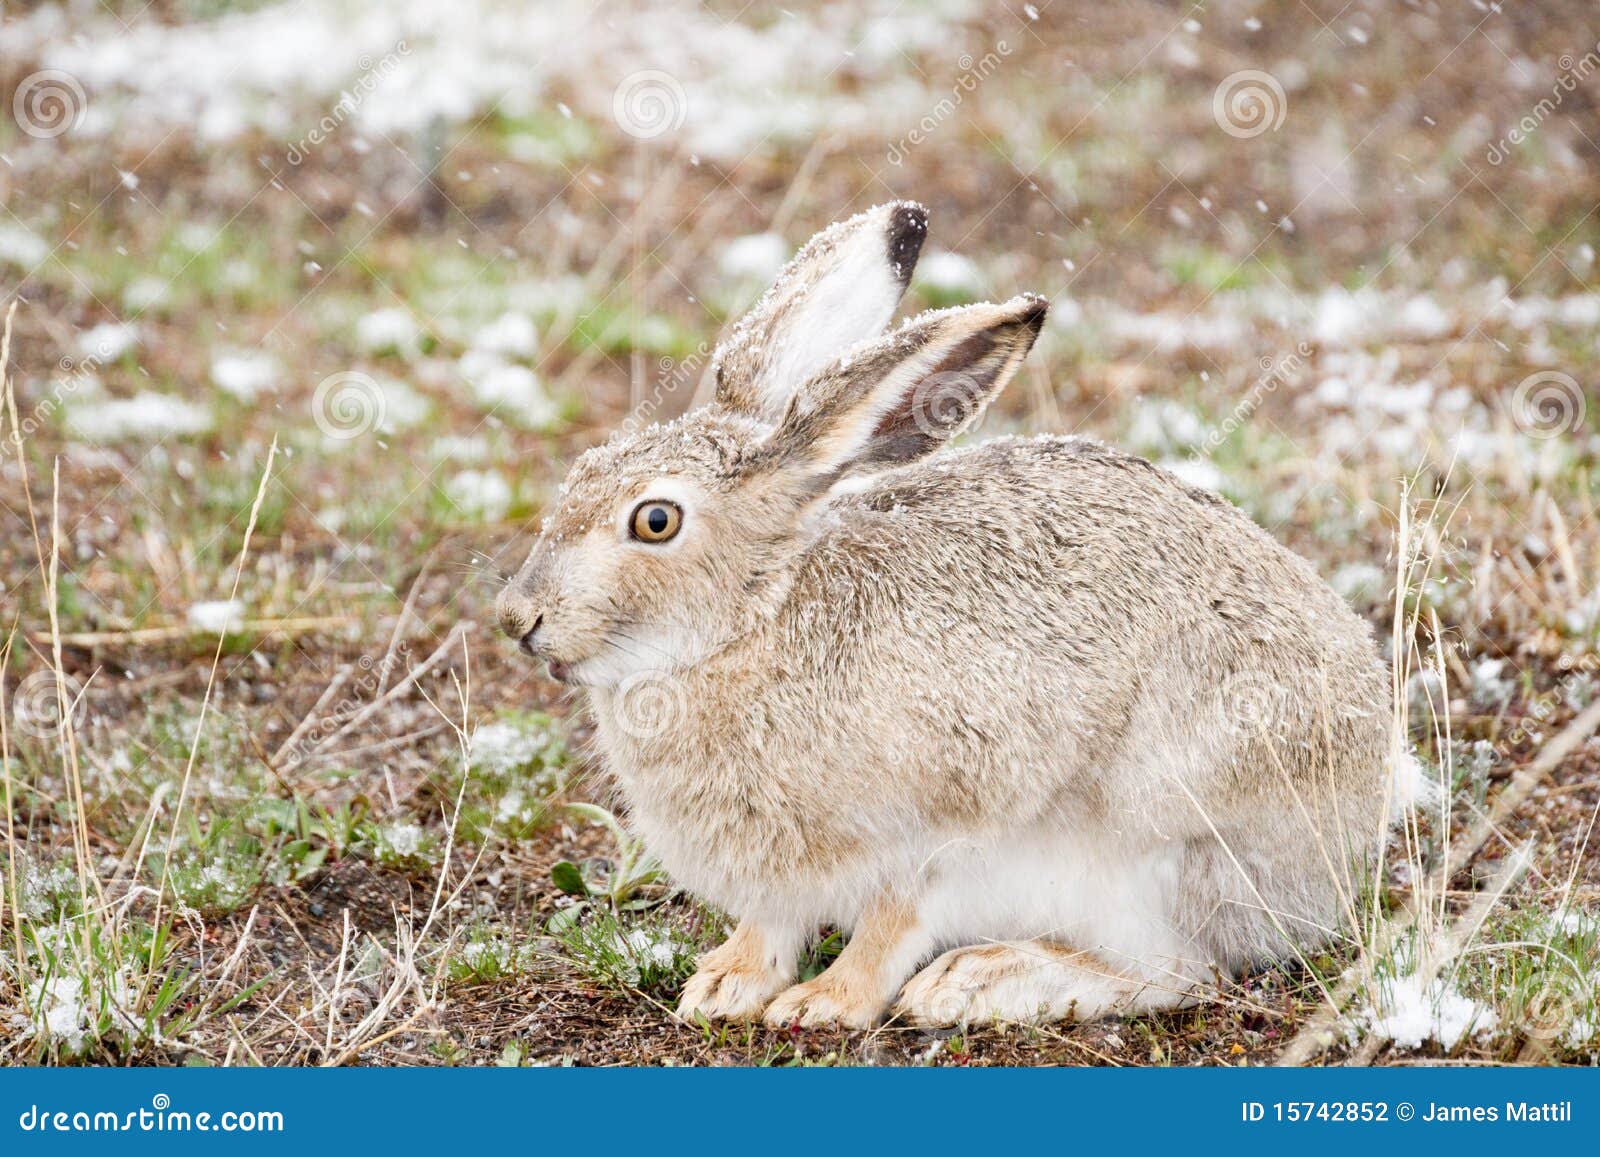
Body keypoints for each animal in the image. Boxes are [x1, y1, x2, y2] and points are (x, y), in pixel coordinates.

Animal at [496, 201, 1393, 1029]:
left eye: (656, 521)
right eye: (582, 468)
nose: (518, 617)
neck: (751, 623)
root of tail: (1360, 815)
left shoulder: (943, 832)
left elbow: (892, 923)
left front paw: (824, 1003)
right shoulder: (784, 877)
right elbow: (772, 925)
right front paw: (724, 985)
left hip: (1156, 850)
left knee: (1181, 972)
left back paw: (977, 981)